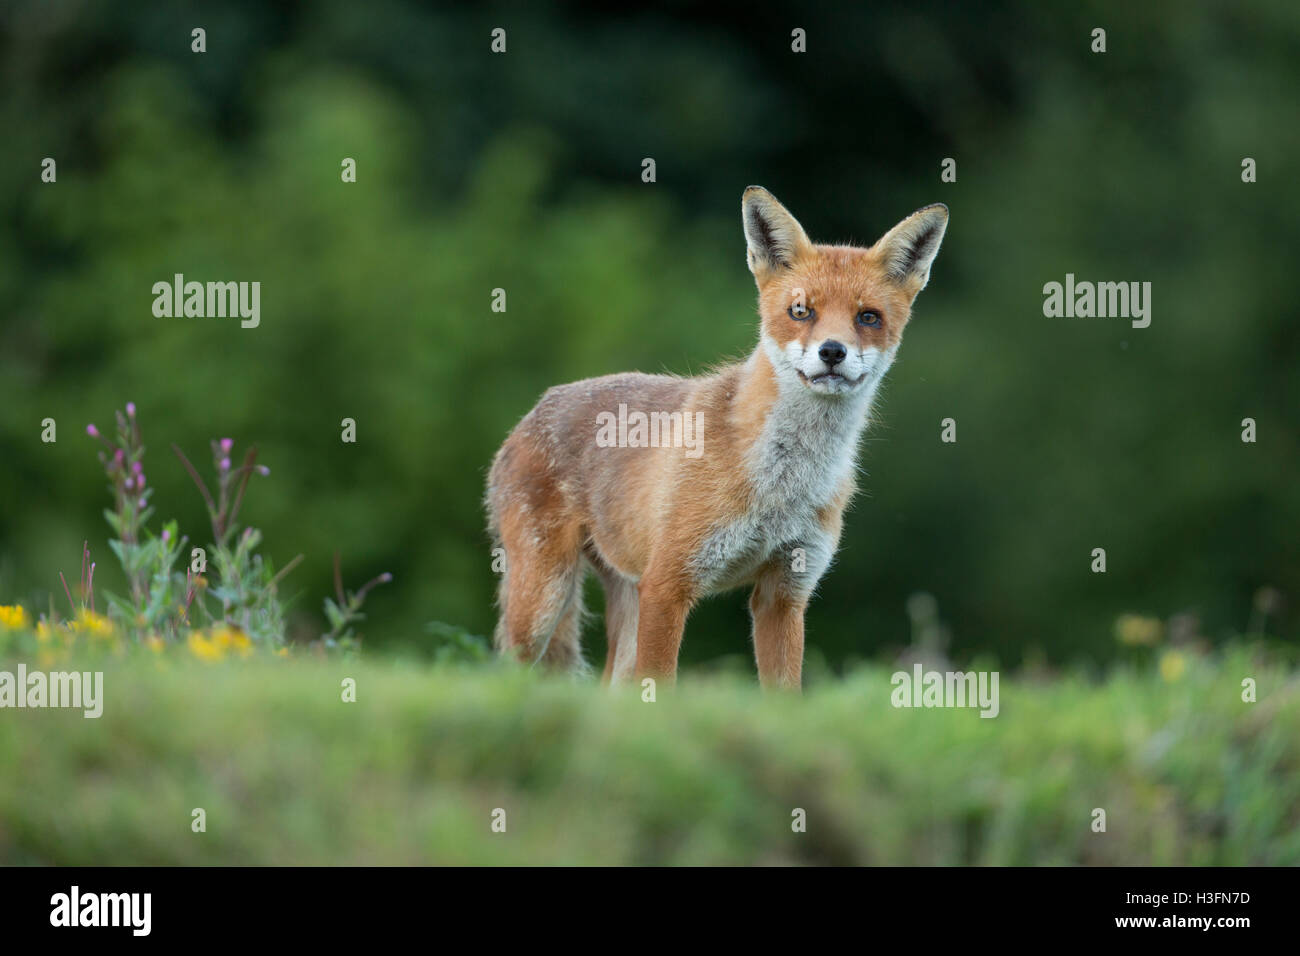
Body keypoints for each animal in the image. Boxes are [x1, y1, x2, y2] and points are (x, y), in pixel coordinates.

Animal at [486, 186, 948, 689]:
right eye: (800, 311)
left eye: (868, 317)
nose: (832, 352)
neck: (781, 482)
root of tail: (535, 409)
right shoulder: (668, 584)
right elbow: (660, 688)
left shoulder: (784, 592)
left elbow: (784, 694)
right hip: (543, 600)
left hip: (623, 603)